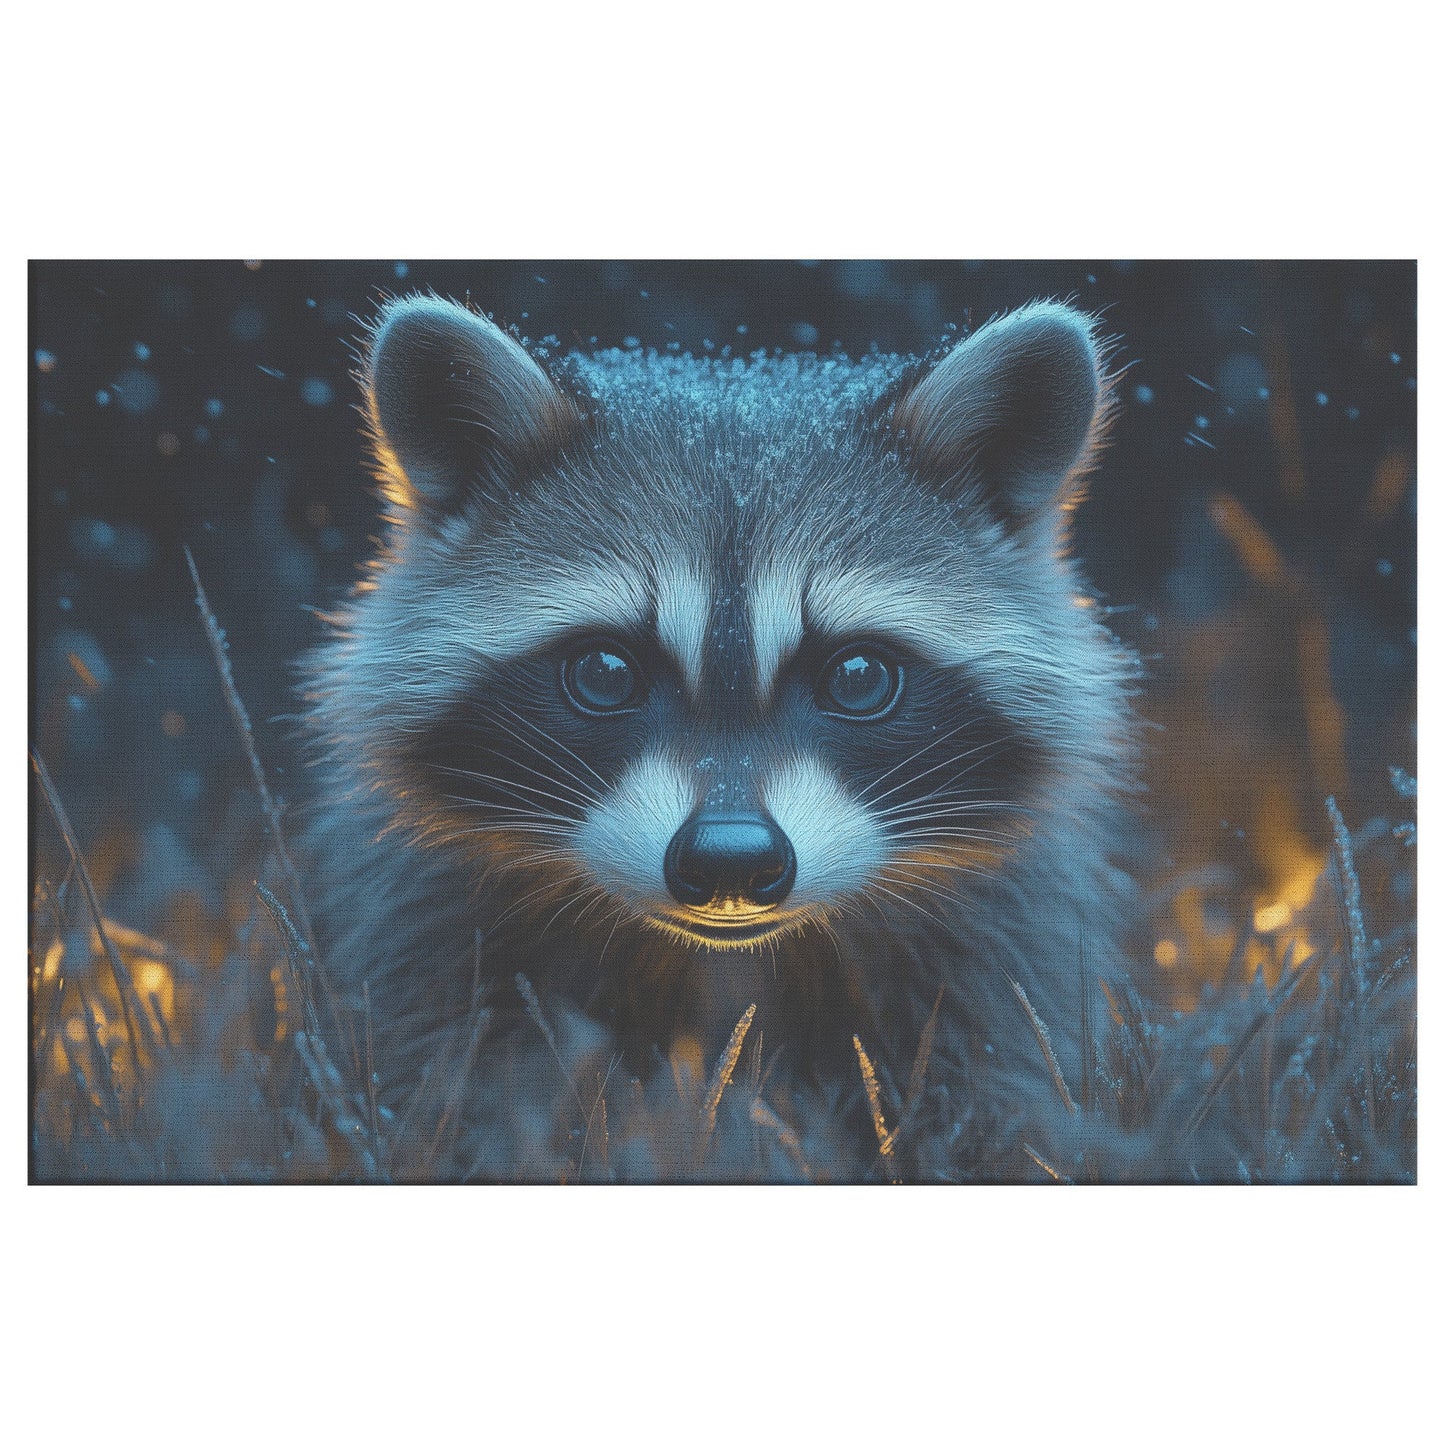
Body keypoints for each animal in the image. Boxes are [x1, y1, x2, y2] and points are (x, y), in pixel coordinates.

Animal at [299, 293, 1138, 1177]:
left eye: (857, 676)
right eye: (604, 671)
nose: (730, 860)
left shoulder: (1003, 941)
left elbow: (996, 1094)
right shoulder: (426, 925)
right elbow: (449, 1086)